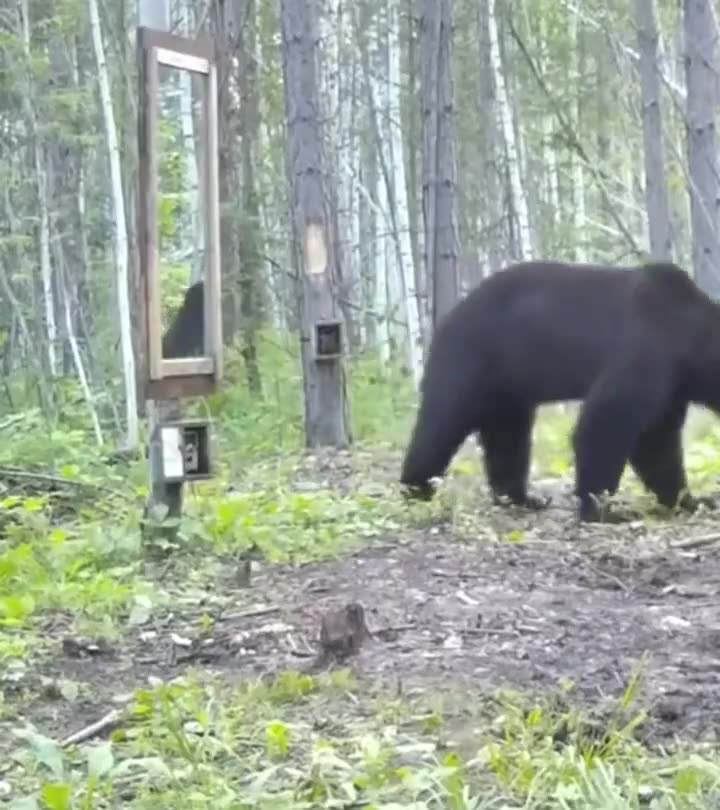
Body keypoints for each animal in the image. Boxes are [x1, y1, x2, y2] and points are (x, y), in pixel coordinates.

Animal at [400, 259, 719, 522]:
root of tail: (448, 317)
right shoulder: (646, 351)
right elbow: (606, 423)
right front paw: (602, 510)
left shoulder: (672, 385)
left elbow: (657, 440)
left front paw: (692, 500)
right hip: (470, 359)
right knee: (441, 424)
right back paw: (415, 492)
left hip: (508, 385)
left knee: (508, 436)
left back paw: (521, 497)